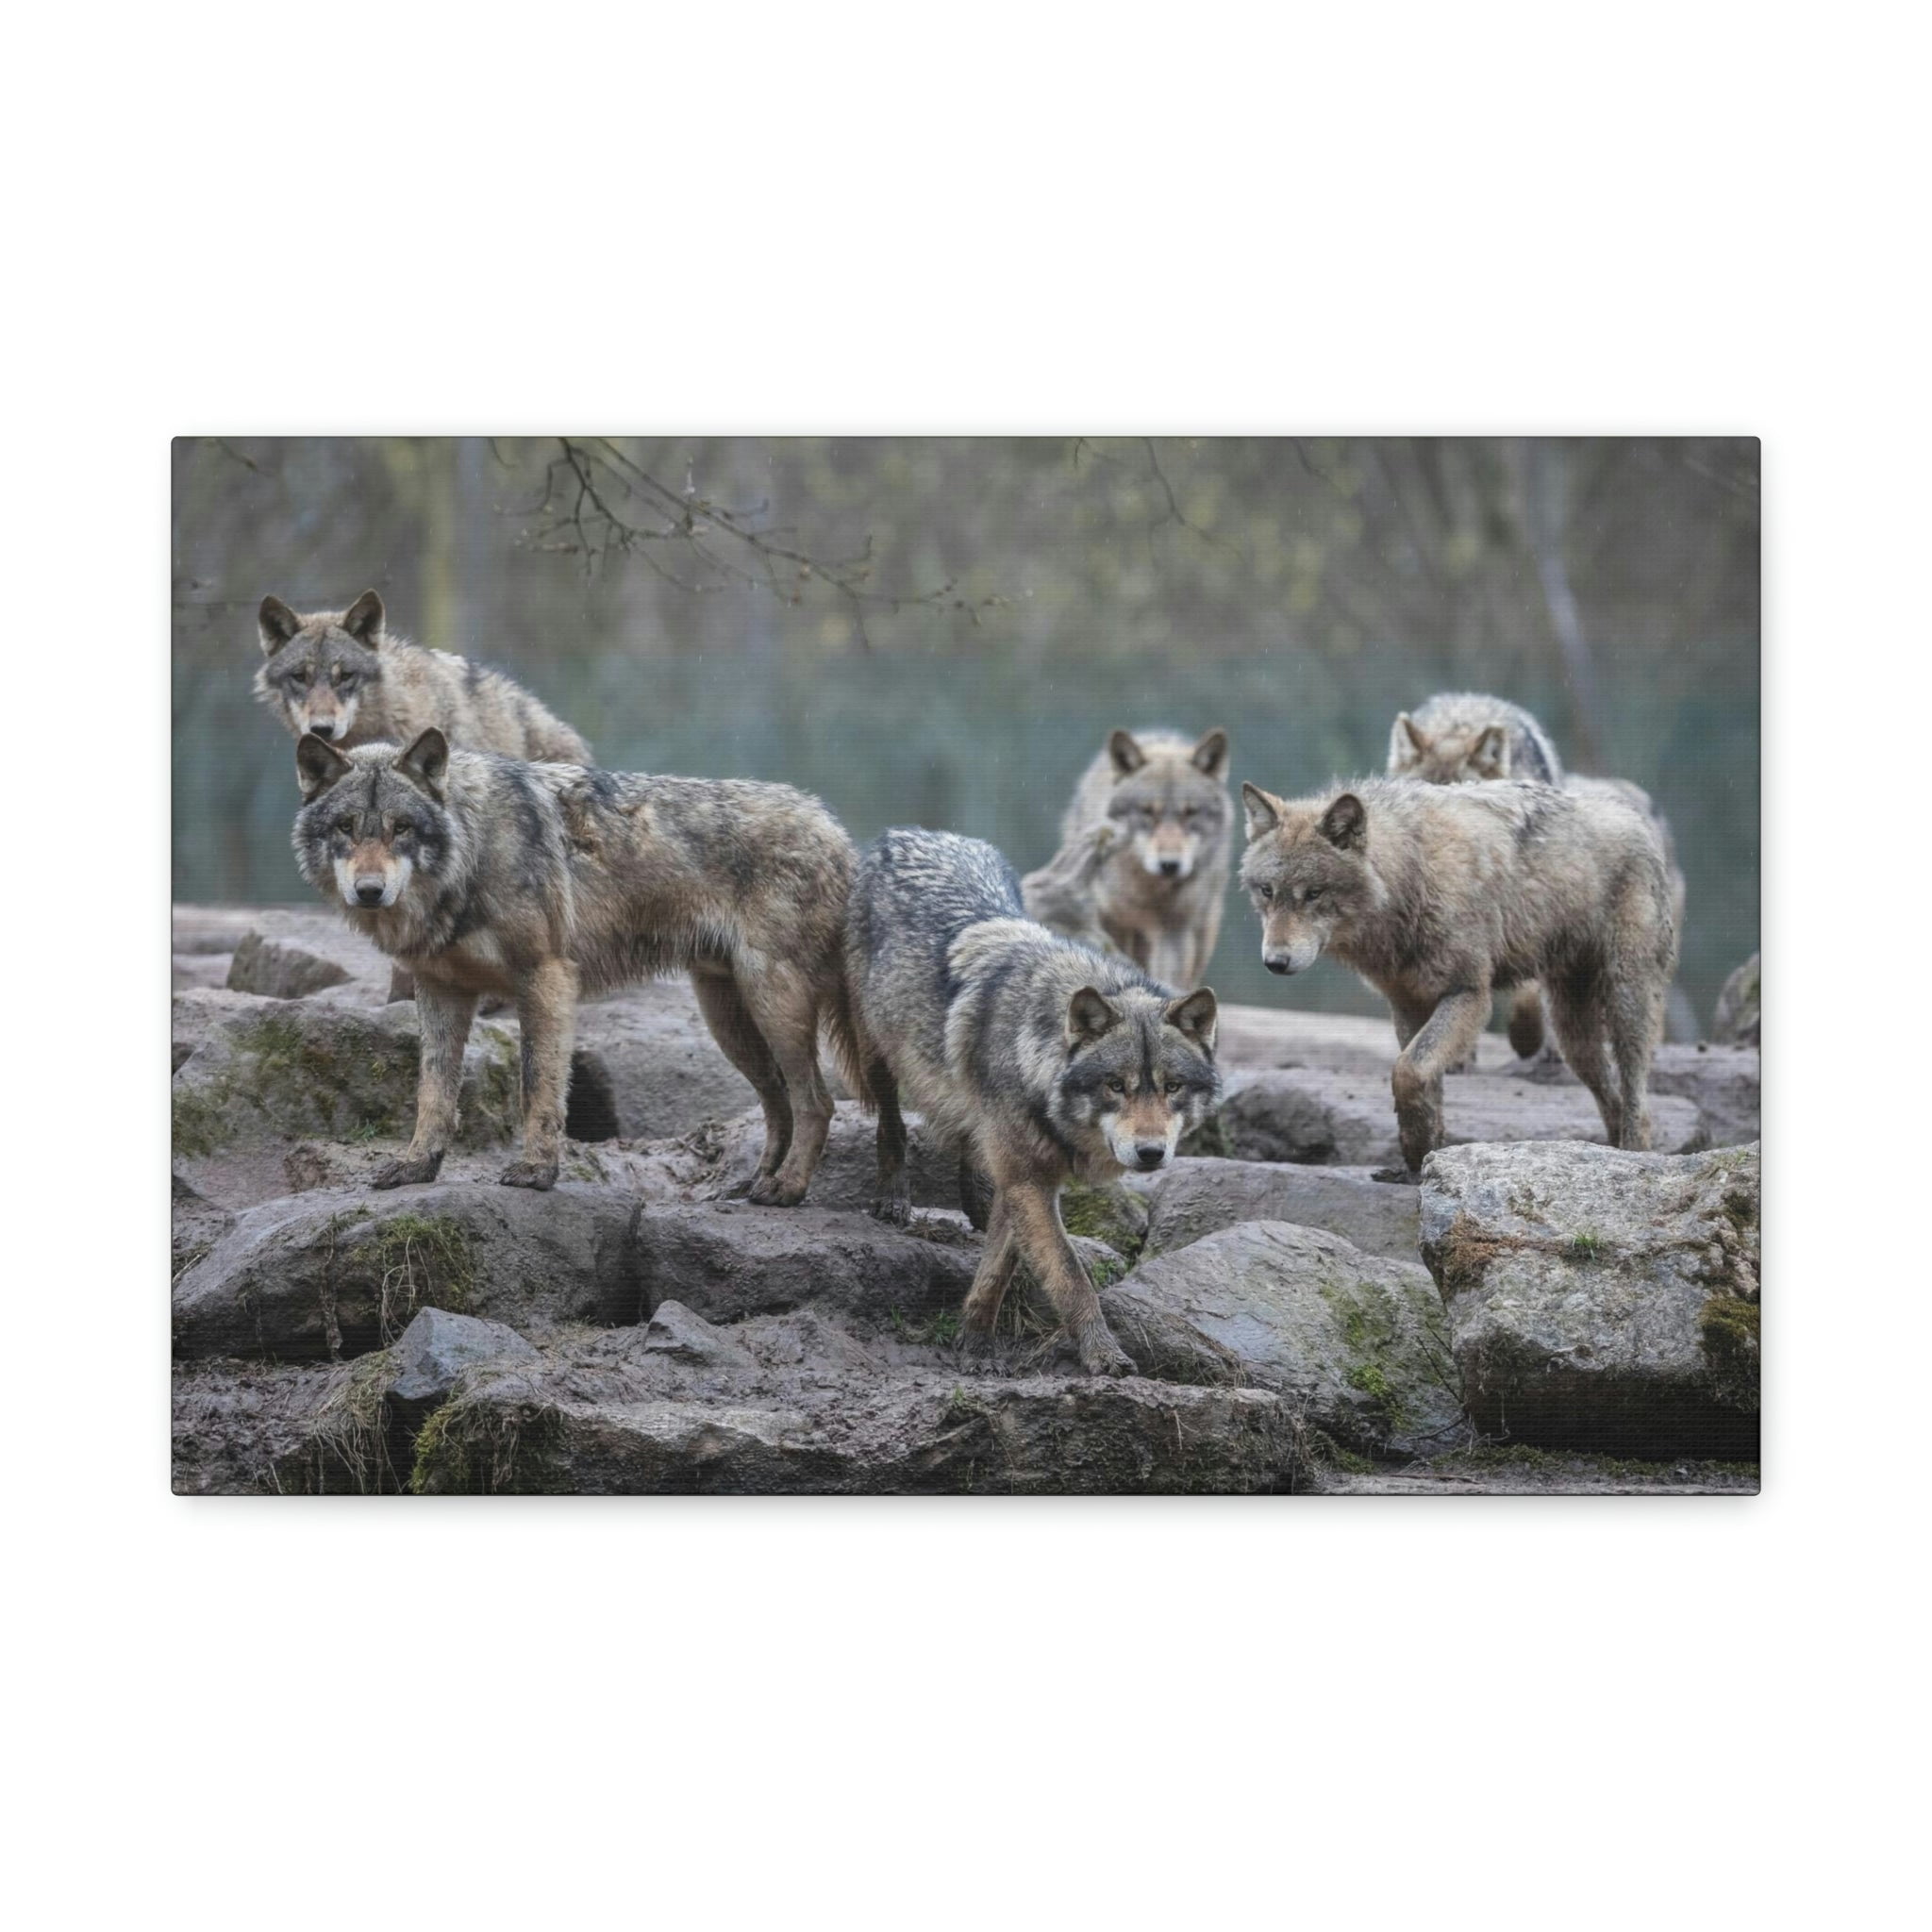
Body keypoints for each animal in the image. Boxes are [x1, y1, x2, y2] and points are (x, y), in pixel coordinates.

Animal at [292, 729, 856, 1202]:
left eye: (402, 828)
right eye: (346, 827)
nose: (369, 891)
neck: (473, 854)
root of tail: (836, 829)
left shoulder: (546, 977)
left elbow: (537, 1083)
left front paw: (538, 1171)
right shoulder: (439, 990)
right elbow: (433, 1091)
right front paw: (417, 1166)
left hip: (772, 1004)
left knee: (816, 1101)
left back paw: (786, 1189)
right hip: (728, 1021)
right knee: (779, 1101)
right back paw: (754, 1182)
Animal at [844, 828, 1221, 1377]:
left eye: (1171, 1087)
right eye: (1116, 1085)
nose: (1151, 1153)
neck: (1034, 1055)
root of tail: (913, 832)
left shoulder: (1025, 1181)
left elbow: (999, 1267)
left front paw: (974, 1342)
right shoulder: (1029, 1182)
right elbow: (1070, 1276)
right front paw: (1102, 1355)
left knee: (972, 1150)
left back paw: (976, 1201)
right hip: (877, 1049)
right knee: (890, 1121)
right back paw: (893, 1196)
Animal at [1052, 727, 1232, 988]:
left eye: (1190, 813)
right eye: (1147, 812)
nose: (1169, 865)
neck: (1148, 893)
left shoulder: (1174, 932)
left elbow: (1169, 977)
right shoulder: (1112, 921)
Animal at [1239, 776, 1676, 1174]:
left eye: (1314, 893)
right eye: (1267, 891)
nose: (1275, 962)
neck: (1413, 876)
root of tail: (1635, 816)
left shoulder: (1469, 995)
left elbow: (1409, 1070)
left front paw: (1418, 1150)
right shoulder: (1408, 1003)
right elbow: (1423, 1082)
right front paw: (1422, 1157)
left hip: (1624, 1003)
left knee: (1638, 1099)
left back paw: (1634, 1158)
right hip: (1573, 1036)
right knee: (1612, 1097)